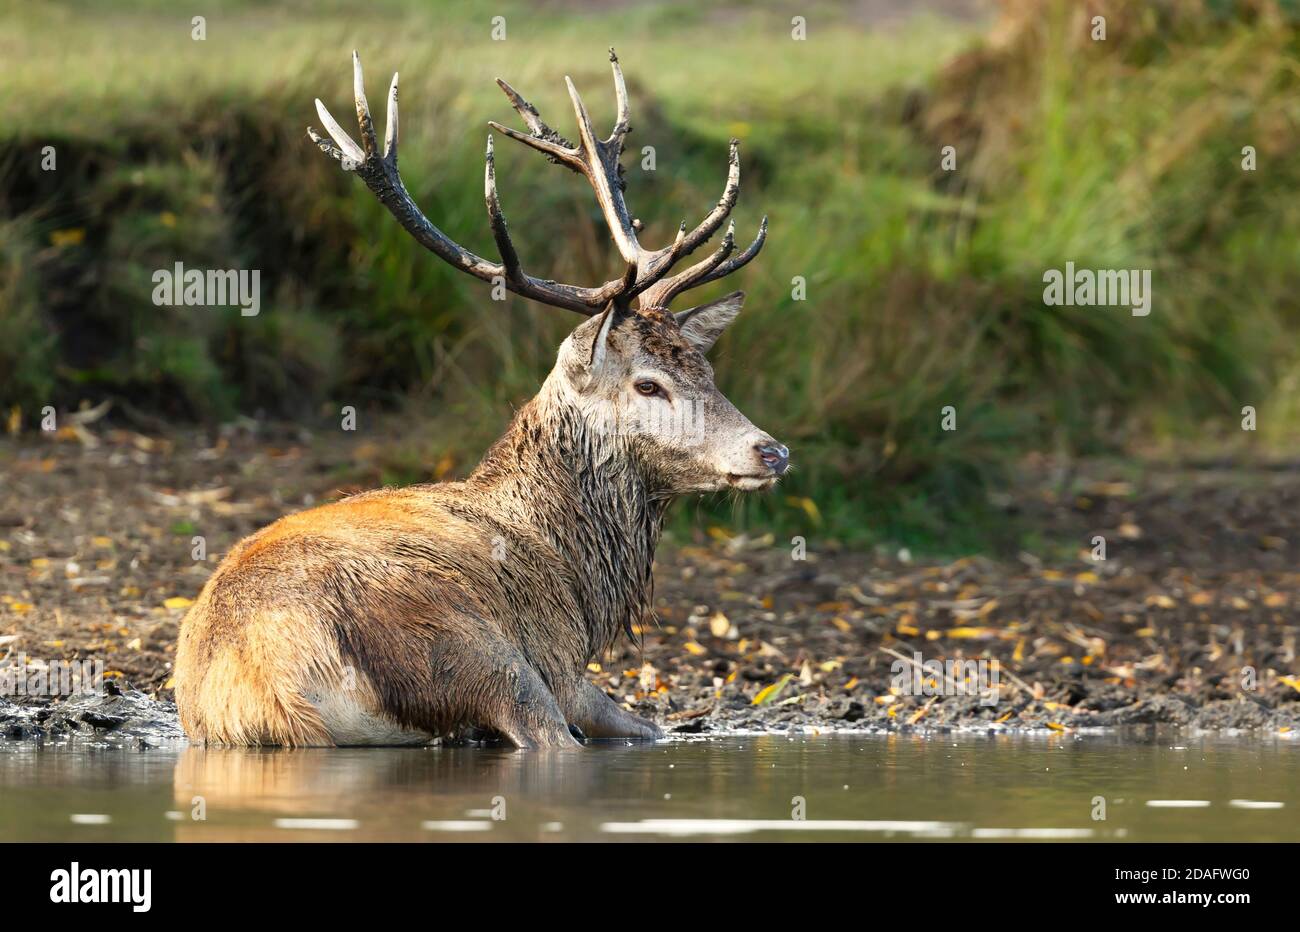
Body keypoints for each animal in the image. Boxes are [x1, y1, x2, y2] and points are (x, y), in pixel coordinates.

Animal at [173, 50, 789, 748]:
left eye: (705, 369)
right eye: (648, 383)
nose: (773, 452)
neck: (577, 579)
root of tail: (272, 685)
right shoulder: (559, 658)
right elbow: (647, 727)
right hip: (477, 650)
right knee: (544, 734)